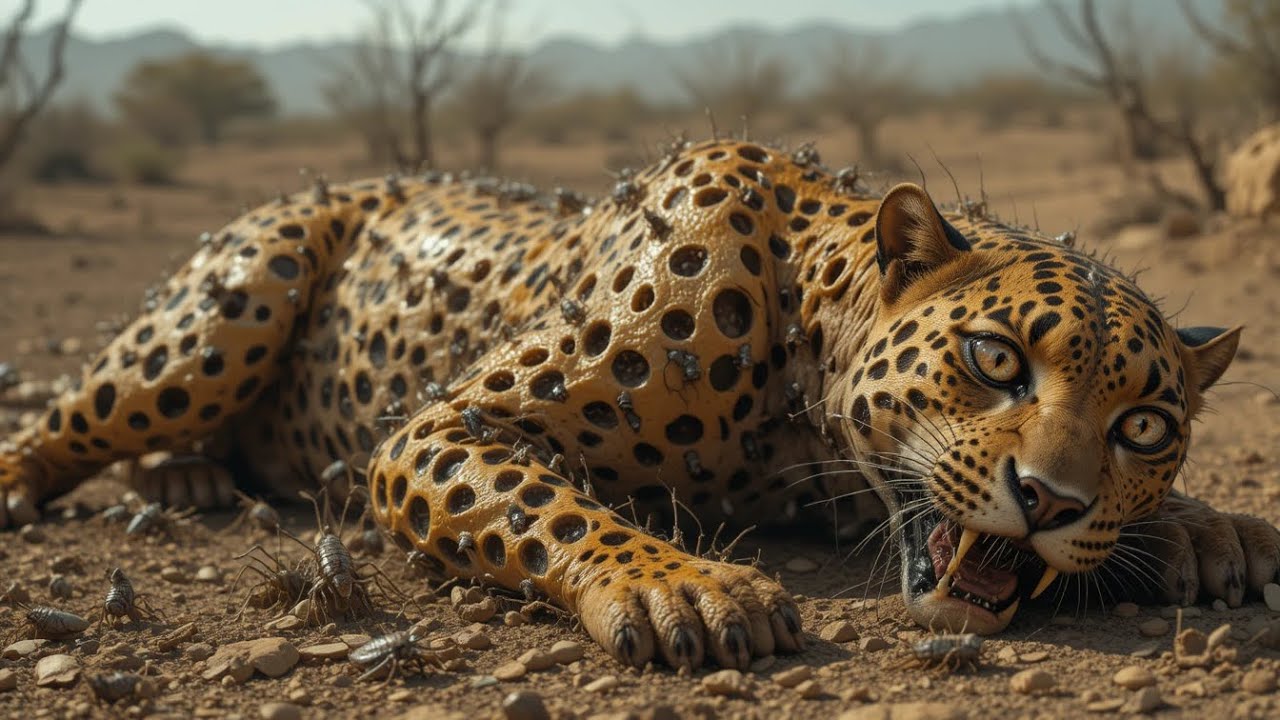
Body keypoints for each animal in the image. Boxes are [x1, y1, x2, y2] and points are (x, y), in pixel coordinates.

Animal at [3, 138, 1278, 671]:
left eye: (1144, 427)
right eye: (994, 356)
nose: (1048, 501)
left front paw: (1207, 528)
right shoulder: (440, 424)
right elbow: (551, 508)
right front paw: (685, 589)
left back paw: (187, 476)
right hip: (223, 312)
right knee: (75, 415)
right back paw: (82, 477)